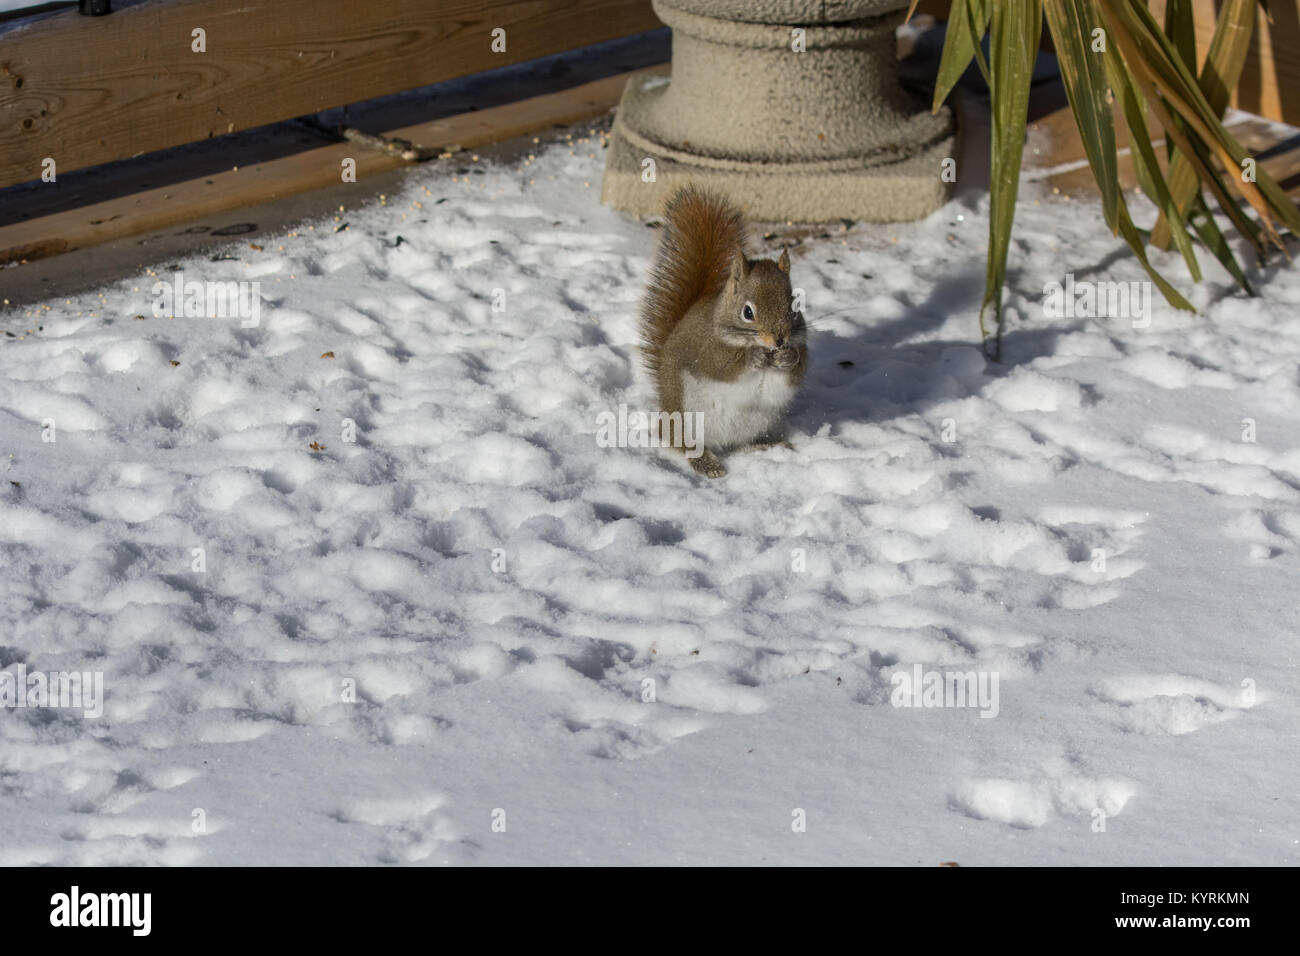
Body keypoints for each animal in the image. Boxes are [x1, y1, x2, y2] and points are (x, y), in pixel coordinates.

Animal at [639, 185, 808, 478]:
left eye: (794, 307)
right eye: (748, 312)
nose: (779, 340)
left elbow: (796, 370)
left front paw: (788, 357)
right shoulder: (705, 346)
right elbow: (719, 365)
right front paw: (752, 357)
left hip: (756, 421)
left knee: (741, 444)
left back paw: (765, 445)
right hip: (686, 417)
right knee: (682, 444)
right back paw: (705, 462)